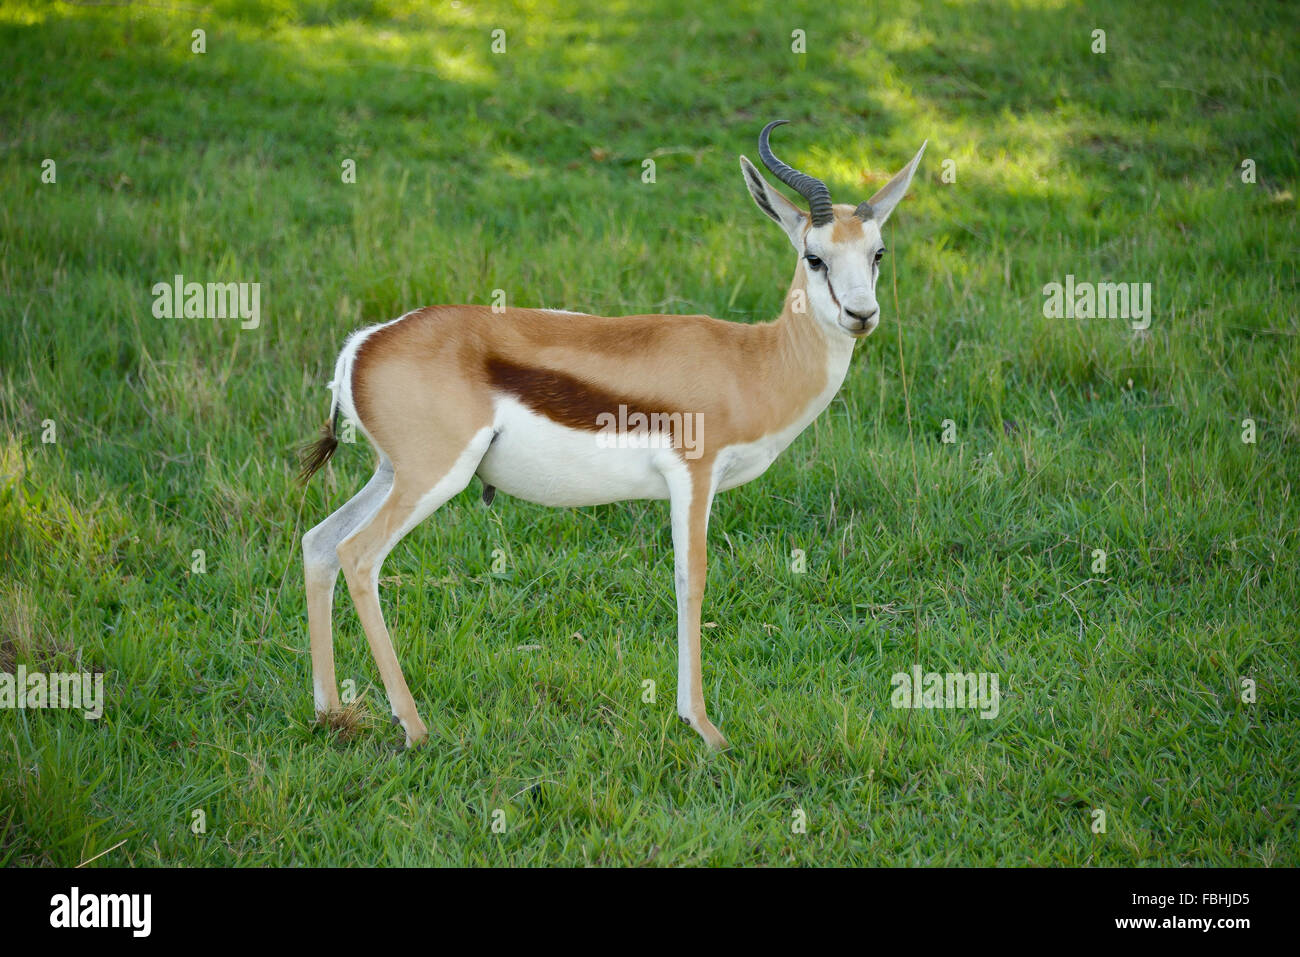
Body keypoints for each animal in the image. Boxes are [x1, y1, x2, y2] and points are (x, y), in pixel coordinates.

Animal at [300, 121, 926, 750]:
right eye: (814, 256)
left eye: (877, 253)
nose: (860, 314)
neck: (752, 361)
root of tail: (364, 343)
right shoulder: (694, 476)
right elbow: (691, 578)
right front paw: (705, 728)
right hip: (434, 477)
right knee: (358, 556)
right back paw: (413, 726)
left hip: (393, 474)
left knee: (320, 542)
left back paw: (331, 711)